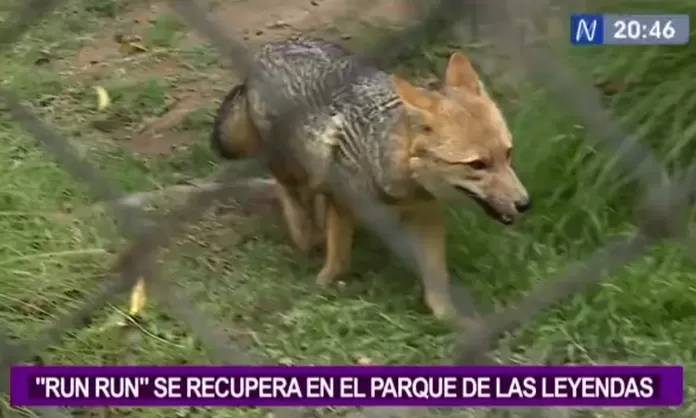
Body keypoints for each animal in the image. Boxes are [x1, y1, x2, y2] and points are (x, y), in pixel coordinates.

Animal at [209, 38, 530, 322]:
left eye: (508, 154)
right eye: (477, 165)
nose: (525, 203)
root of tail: (269, 49)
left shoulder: (426, 213)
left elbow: (437, 277)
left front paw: (450, 319)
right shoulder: (343, 204)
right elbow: (339, 259)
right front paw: (321, 285)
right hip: (294, 168)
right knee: (288, 190)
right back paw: (305, 233)